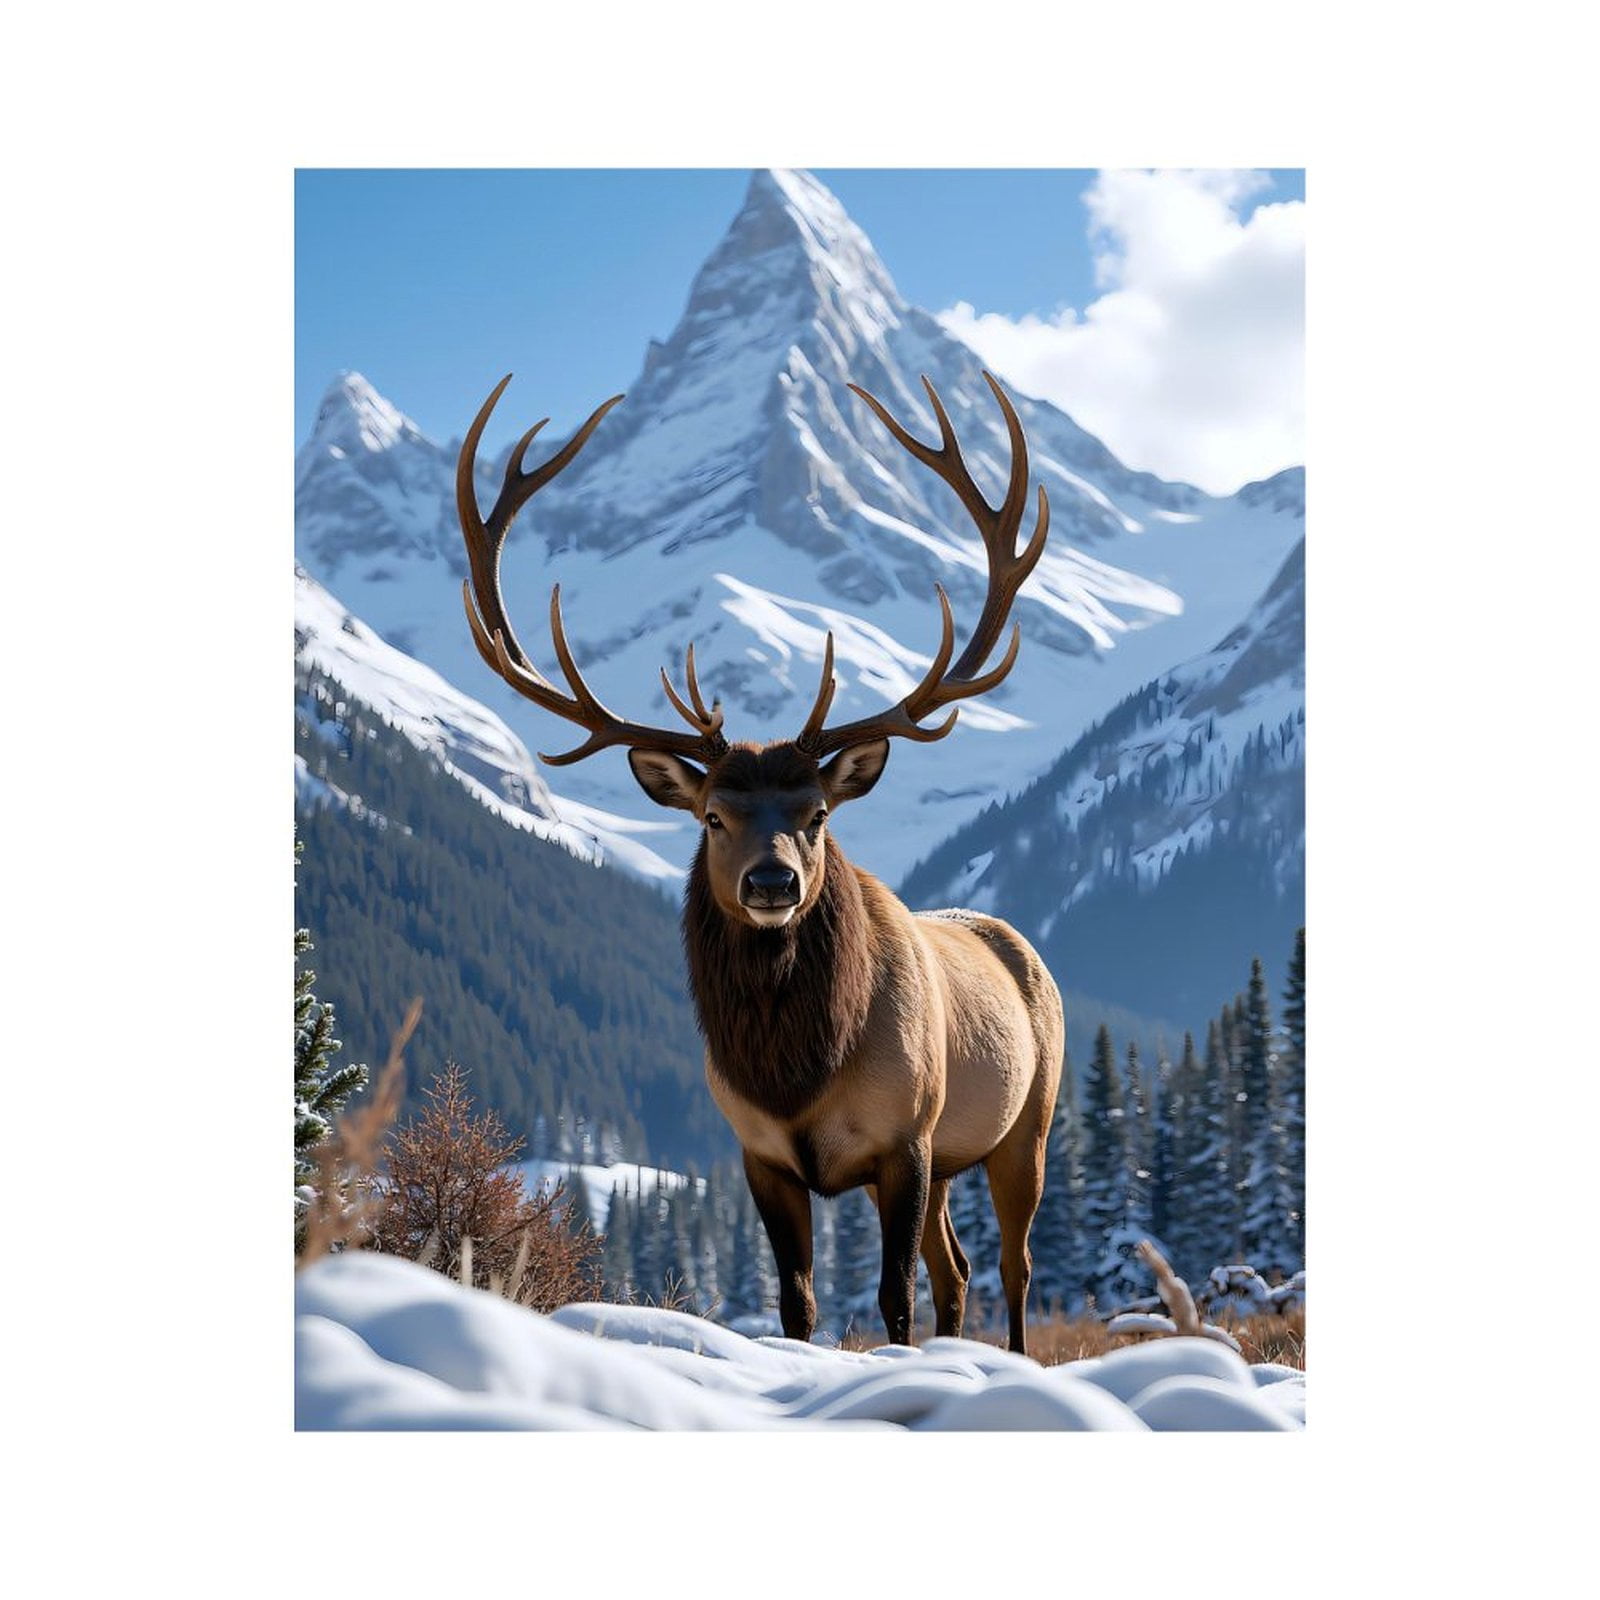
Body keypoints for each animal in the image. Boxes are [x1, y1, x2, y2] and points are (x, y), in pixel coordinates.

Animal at [455, 369, 1064, 1352]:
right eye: (712, 816)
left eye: (816, 814)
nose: (772, 881)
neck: (794, 1073)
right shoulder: (760, 1154)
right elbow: (797, 1304)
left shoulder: (904, 1139)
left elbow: (891, 1299)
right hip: (951, 1162)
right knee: (959, 1269)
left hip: (1022, 1129)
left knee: (1012, 1266)